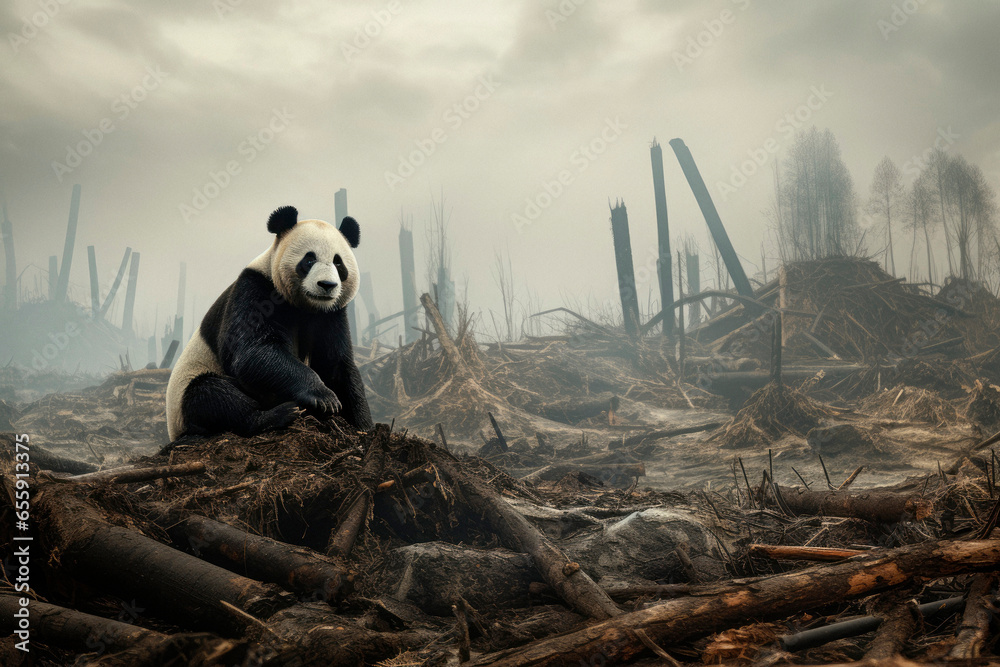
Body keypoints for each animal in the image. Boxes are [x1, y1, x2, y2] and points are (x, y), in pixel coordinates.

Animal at [165, 205, 374, 441]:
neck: (305, 306)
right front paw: (323, 397)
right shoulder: (256, 288)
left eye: (338, 263)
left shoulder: (330, 314)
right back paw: (276, 415)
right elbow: (253, 351)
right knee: (210, 395)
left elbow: (336, 364)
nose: (327, 285)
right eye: (309, 260)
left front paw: (363, 426)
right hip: (184, 396)